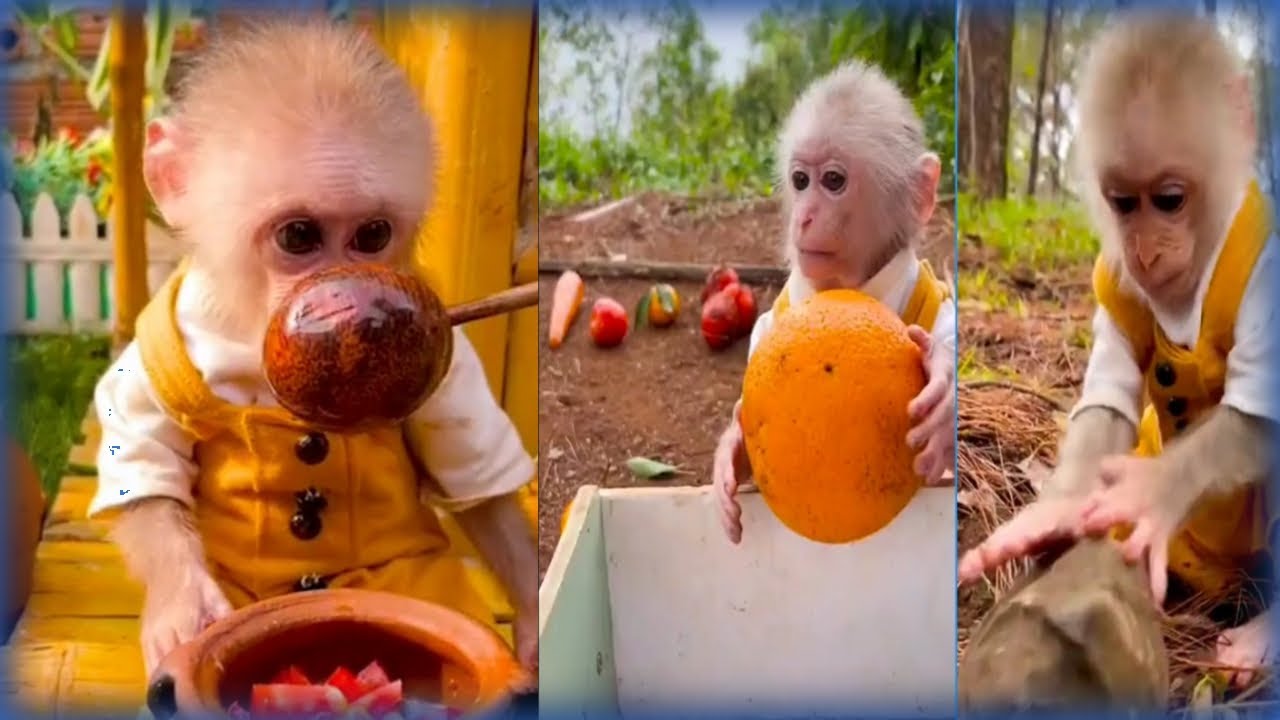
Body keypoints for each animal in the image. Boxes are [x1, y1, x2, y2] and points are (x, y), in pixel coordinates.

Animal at [85, 17, 539, 685]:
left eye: (371, 235)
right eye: (299, 236)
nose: (340, 294)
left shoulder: (449, 366)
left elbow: (481, 489)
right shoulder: (149, 360)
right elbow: (147, 470)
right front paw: (183, 604)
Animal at [958, 11, 1277, 690]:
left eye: (1170, 200)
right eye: (1123, 203)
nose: (1146, 250)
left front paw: (1150, 491)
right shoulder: (1114, 275)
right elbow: (1109, 392)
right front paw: (1054, 515)